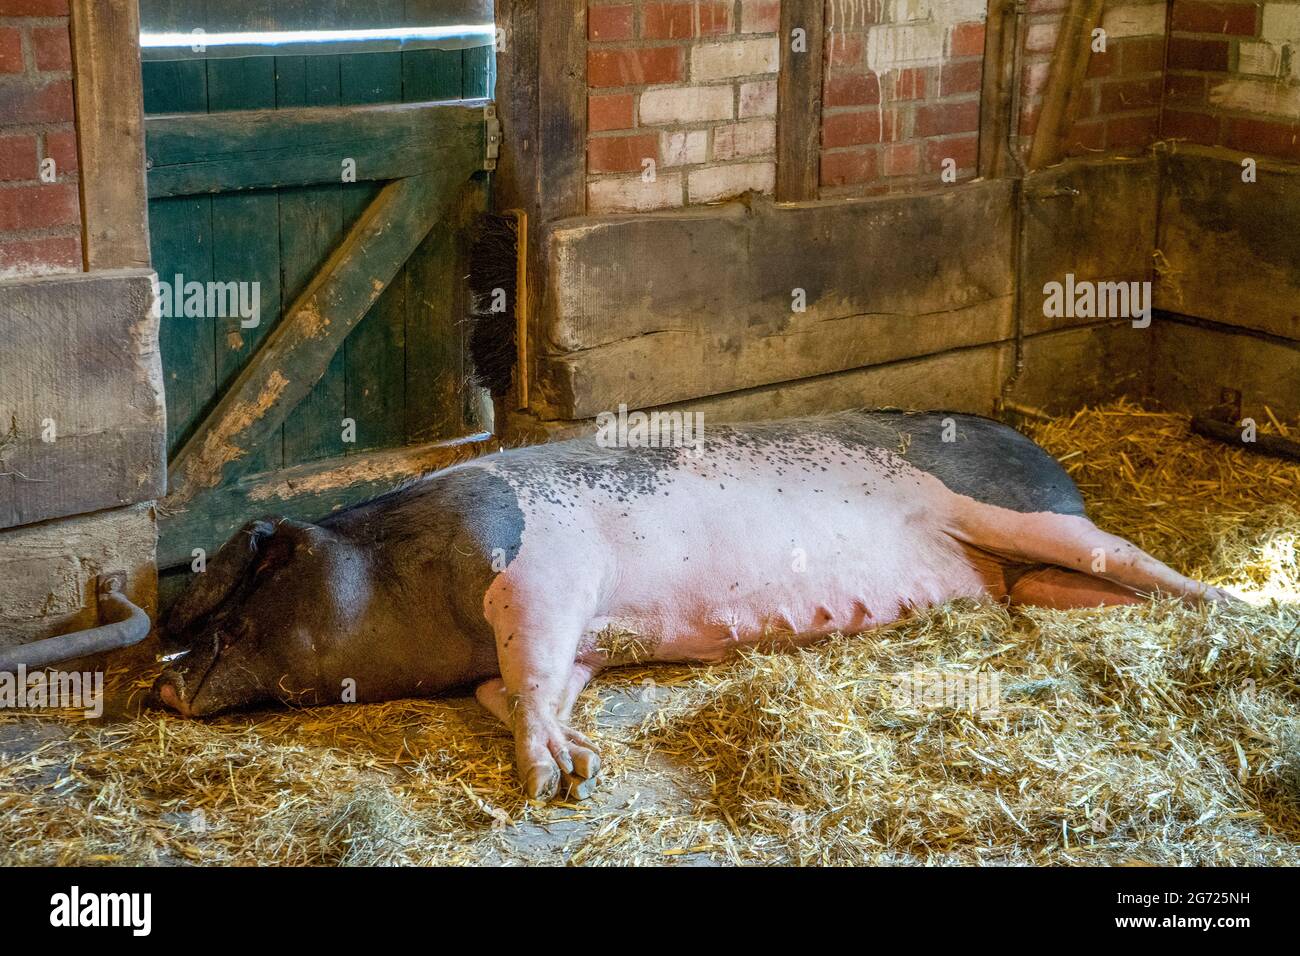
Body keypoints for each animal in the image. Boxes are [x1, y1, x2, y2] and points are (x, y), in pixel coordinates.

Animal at [154, 410, 1232, 800]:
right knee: (1057, 590)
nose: (159, 683)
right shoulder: (579, 637)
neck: (412, 571)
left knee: (1133, 558)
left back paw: (1227, 602)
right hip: (1019, 564)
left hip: (1015, 511)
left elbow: (524, 673)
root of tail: (1049, 458)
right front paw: (581, 760)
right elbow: (519, 689)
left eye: (250, 586)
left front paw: (553, 779)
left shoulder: (542, 579)